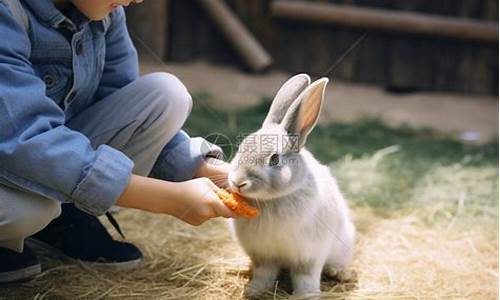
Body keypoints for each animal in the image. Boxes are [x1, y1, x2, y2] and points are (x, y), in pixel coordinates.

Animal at [227, 74, 356, 298]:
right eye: (240, 148)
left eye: (274, 159)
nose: (238, 182)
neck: (271, 201)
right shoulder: (262, 255)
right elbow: (264, 274)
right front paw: (254, 291)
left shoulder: (308, 255)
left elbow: (305, 276)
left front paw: (305, 296)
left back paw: (339, 273)